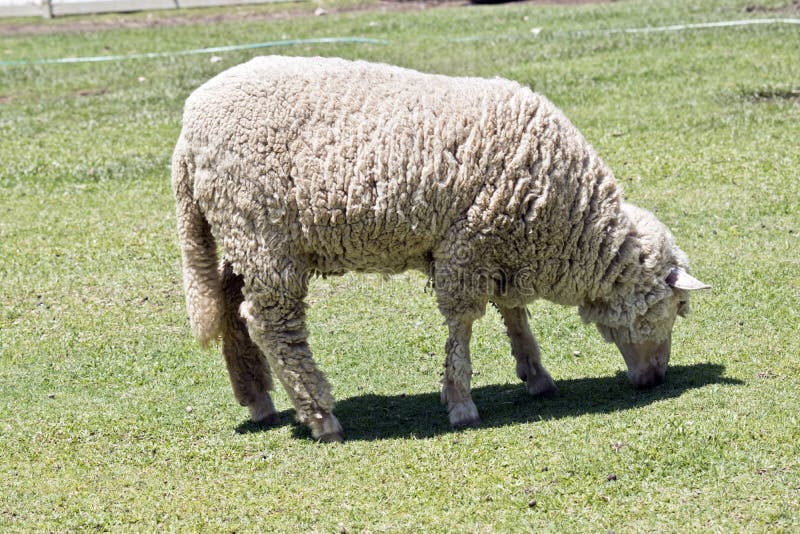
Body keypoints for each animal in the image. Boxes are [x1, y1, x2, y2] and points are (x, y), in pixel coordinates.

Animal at [172, 56, 708, 442]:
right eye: (672, 309)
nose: (657, 378)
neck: (568, 220)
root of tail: (187, 134)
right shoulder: (466, 247)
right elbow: (463, 325)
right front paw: (461, 403)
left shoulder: (499, 248)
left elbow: (513, 312)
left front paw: (536, 375)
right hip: (264, 237)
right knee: (272, 324)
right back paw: (321, 416)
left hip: (239, 234)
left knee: (228, 305)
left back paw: (259, 400)